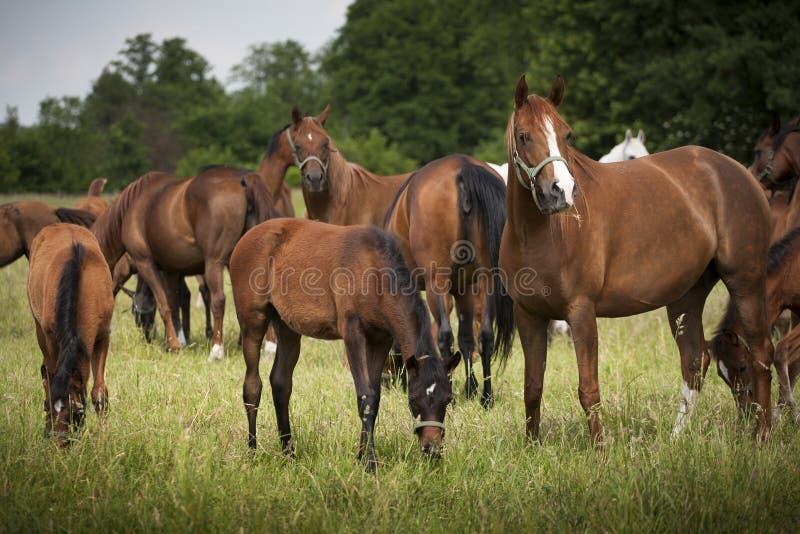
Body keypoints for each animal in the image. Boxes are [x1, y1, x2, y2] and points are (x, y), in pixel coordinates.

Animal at [27, 224, 113, 446]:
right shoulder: (51, 338)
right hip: (39, 327)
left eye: (72, 413)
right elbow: (51, 380)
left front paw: (104, 439)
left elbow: (99, 392)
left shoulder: (103, 335)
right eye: (50, 409)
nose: (57, 446)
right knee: (46, 372)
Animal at [91, 169, 276, 359]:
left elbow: (164, 304)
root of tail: (244, 177)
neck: (130, 209)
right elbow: (173, 304)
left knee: (218, 300)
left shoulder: (145, 263)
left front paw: (173, 345)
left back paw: (216, 350)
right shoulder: (172, 271)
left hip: (214, 263)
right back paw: (270, 347)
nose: (147, 338)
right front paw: (176, 342)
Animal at [230, 219, 459, 471]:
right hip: (253, 321)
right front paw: (370, 464)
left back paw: (289, 454)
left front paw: (361, 456)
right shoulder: (353, 333)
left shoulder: (381, 338)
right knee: (252, 385)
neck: (374, 271)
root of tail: (245, 239)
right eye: (413, 400)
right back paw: (252, 451)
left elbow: (375, 396)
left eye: (448, 399)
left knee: (281, 383)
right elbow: (365, 397)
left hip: (287, 326)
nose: (432, 450)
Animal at [499, 74, 773, 445]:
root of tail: (740, 172)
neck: (540, 234)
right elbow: (532, 387)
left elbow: (588, 390)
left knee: (760, 354)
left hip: (746, 282)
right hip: (686, 296)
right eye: (524, 135)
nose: (562, 191)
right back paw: (676, 439)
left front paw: (600, 451)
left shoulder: (581, 312)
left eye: (567, 134)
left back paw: (762, 434)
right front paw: (532, 447)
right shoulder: (528, 315)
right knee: (695, 360)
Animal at [709, 227, 800, 424]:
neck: (791, 271)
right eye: (721, 374)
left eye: (743, 366)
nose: (745, 412)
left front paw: (792, 411)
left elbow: (781, 351)